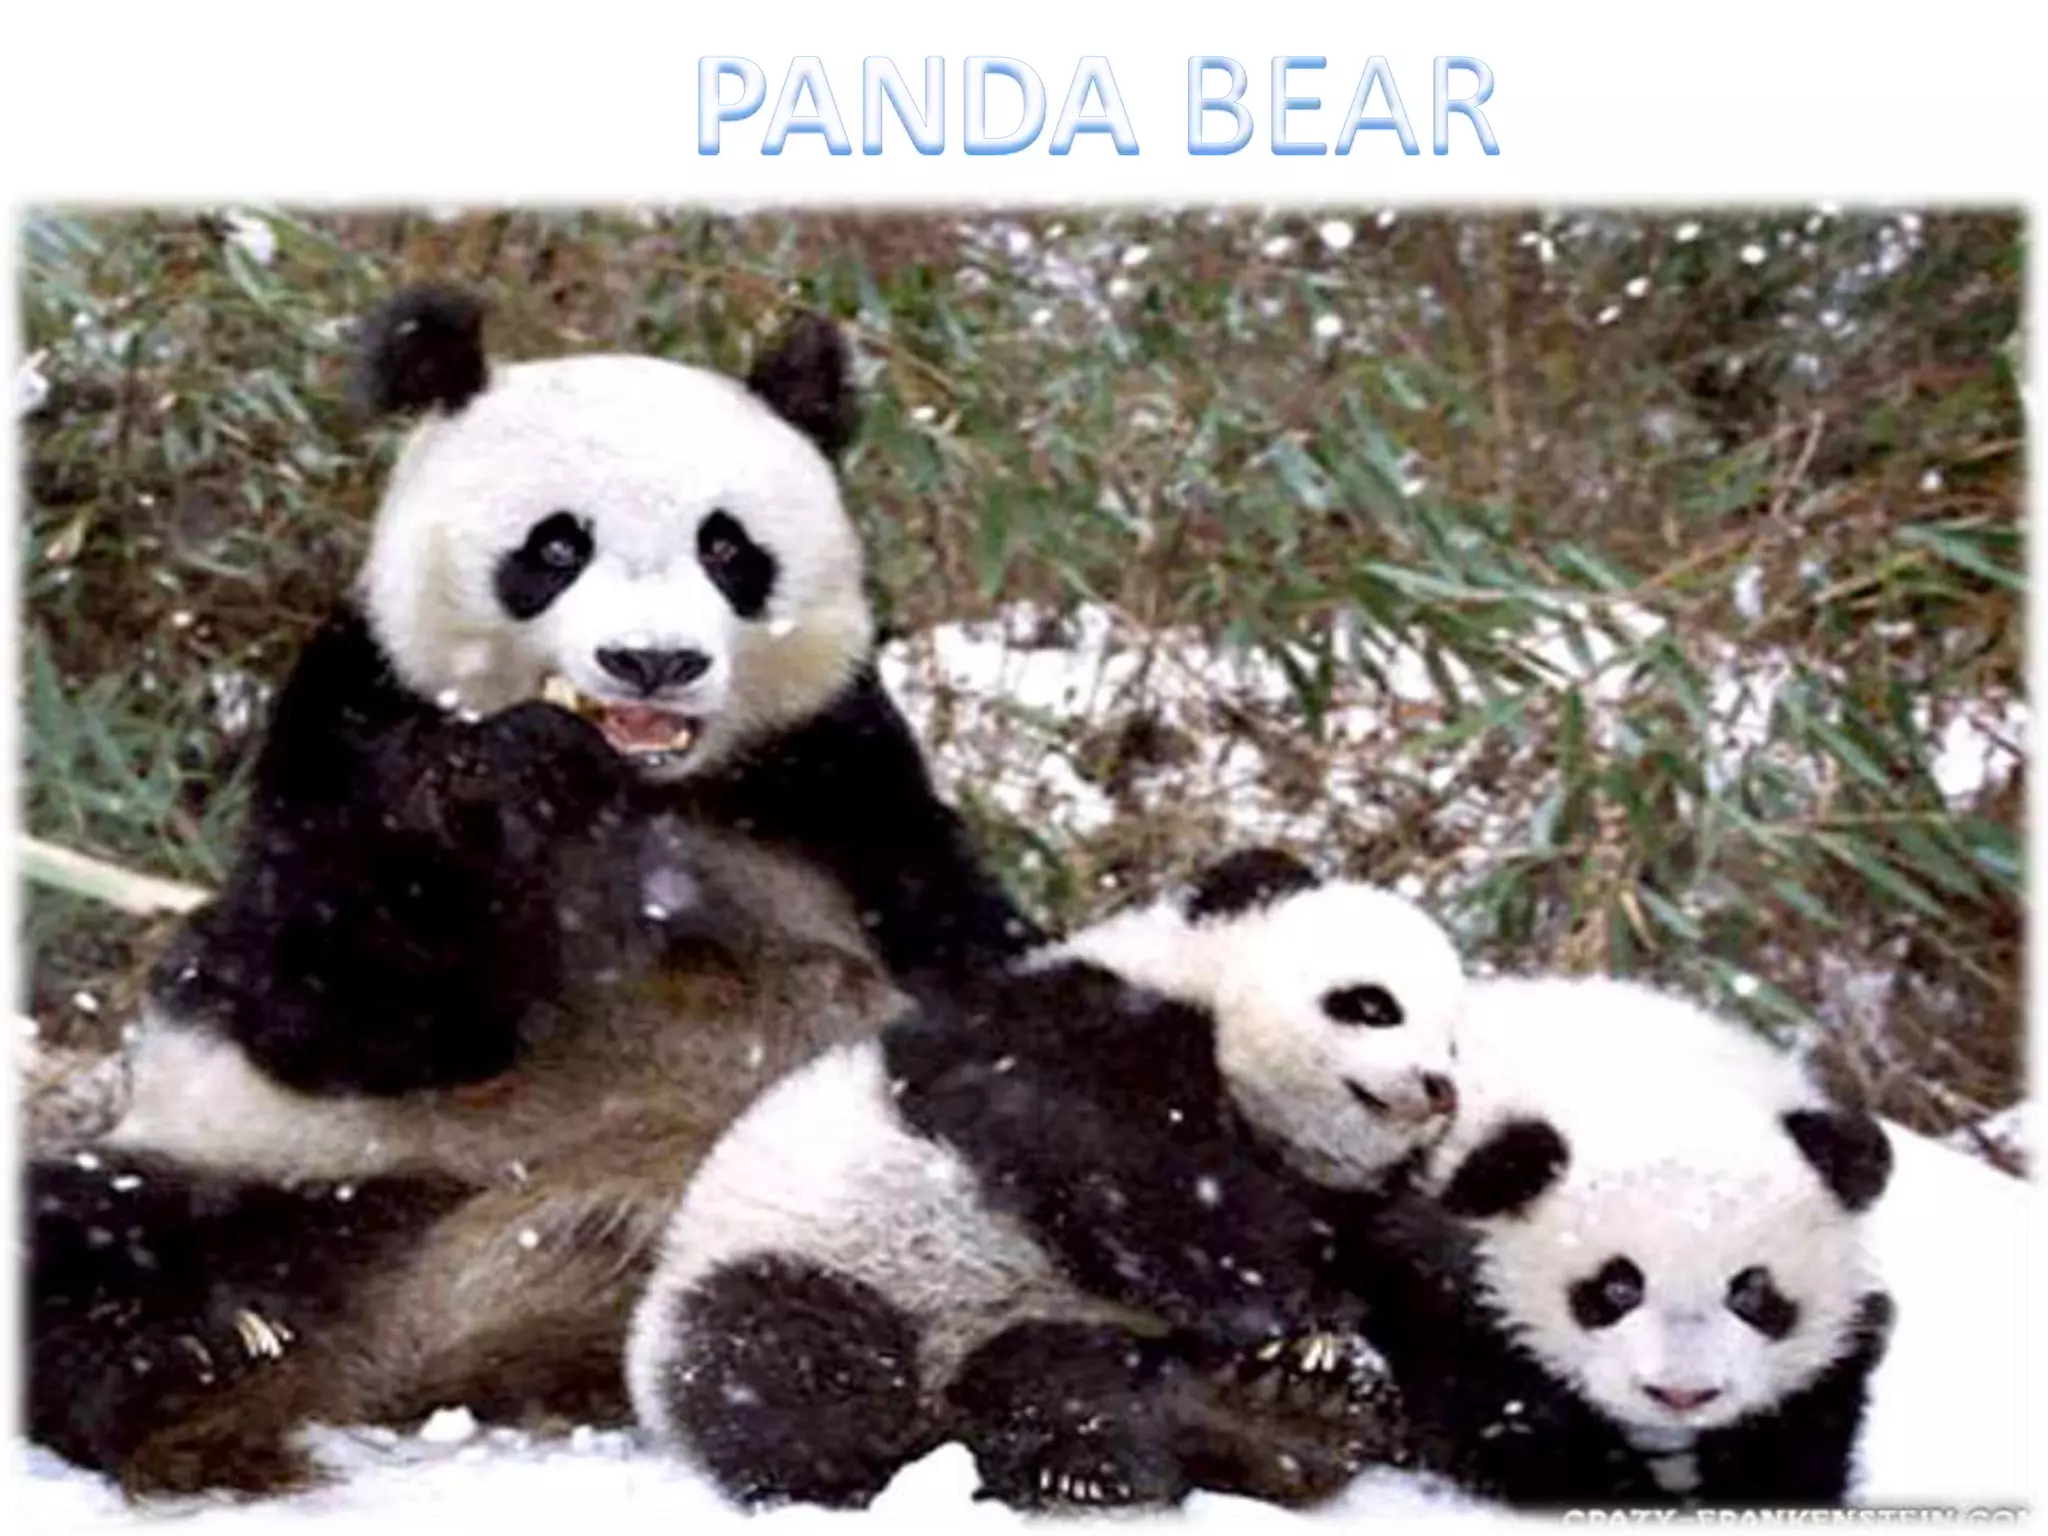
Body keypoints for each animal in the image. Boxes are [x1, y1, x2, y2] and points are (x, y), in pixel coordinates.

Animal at [25, 282, 1039, 1499]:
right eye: (556, 545)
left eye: (727, 547)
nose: (653, 661)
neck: (643, 777)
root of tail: (447, 1346)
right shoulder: (352, 714)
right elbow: (333, 998)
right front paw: (501, 783)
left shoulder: (841, 774)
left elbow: (972, 957)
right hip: (306, 1180)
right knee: (95, 1241)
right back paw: (198, 1411)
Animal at [624, 847, 1468, 1513]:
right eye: (1372, 1004)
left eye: (1455, 1040)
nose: (1438, 1087)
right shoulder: (1065, 1039)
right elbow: (1135, 1182)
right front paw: (1310, 1314)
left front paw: (1330, 1347)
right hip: (813, 1257)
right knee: (786, 1351)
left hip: (1041, 1324)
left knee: (1071, 1382)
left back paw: (1263, 1425)